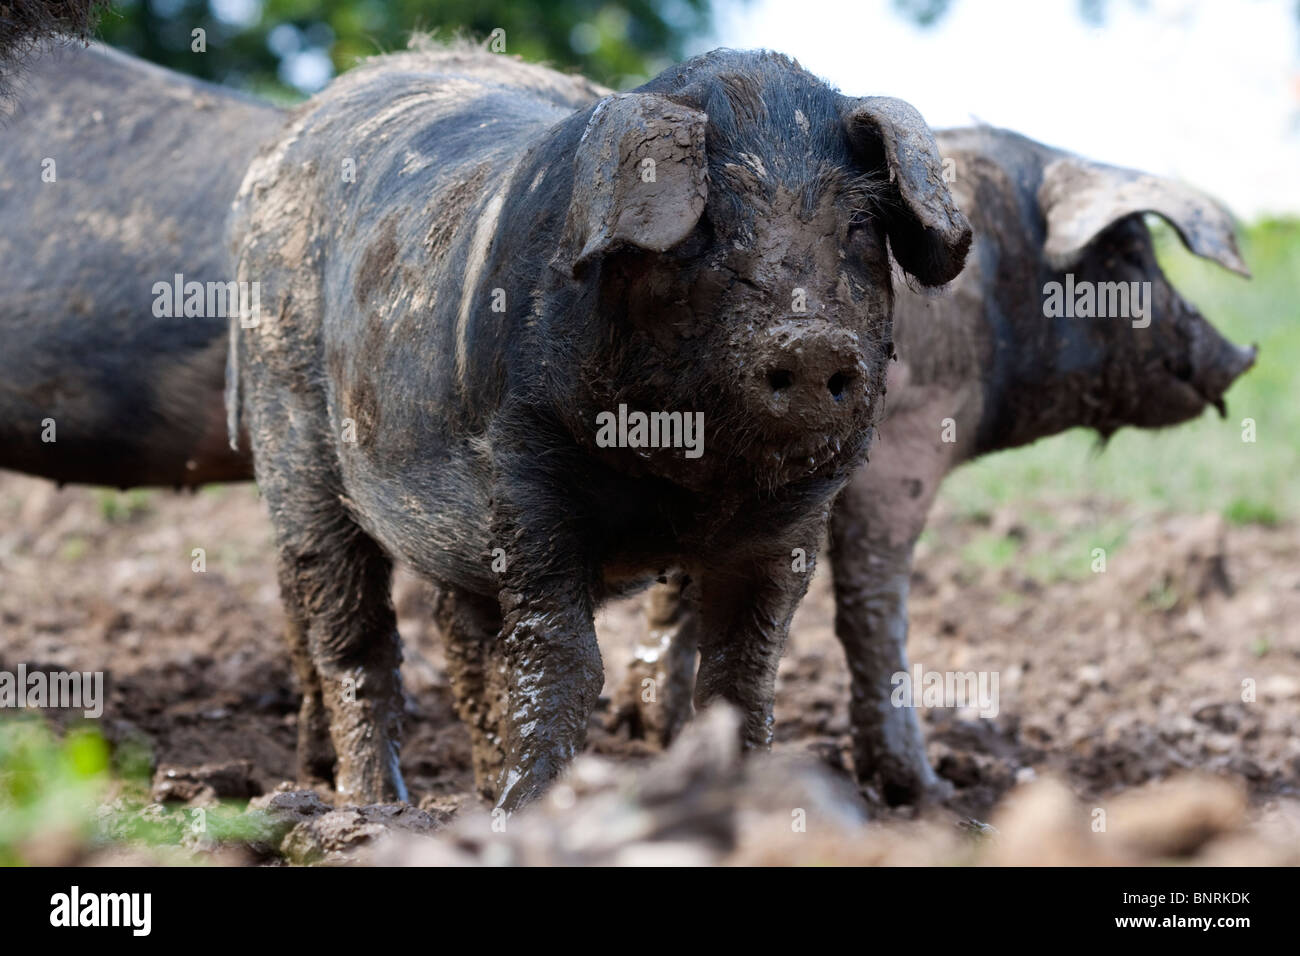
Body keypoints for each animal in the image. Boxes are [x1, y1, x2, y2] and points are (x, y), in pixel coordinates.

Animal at [226, 43, 971, 808]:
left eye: (857, 226)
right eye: (705, 224)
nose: (812, 341)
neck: (686, 478)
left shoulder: (794, 520)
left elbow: (745, 677)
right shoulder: (526, 469)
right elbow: (562, 660)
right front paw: (524, 813)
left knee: (463, 639)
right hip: (289, 434)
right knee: (349, 631)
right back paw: (373, 803)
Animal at [614, 126, 1257, 805]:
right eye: (1130, 250)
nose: (1241, 355)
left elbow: (687, 588)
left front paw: (657, 736)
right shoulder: (909, 441)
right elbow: (874, 598)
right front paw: (927, 790)